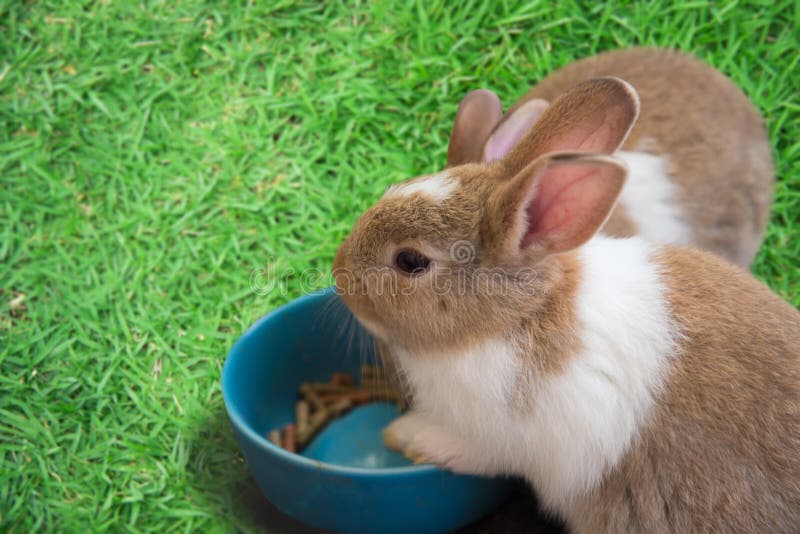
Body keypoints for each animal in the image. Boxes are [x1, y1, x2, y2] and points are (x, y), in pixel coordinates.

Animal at [332, 77, 800, 533]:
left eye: (410, 261)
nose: (338, 274)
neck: (520, 318)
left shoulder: (495, 441)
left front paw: (405, 436)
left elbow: (462, 449)